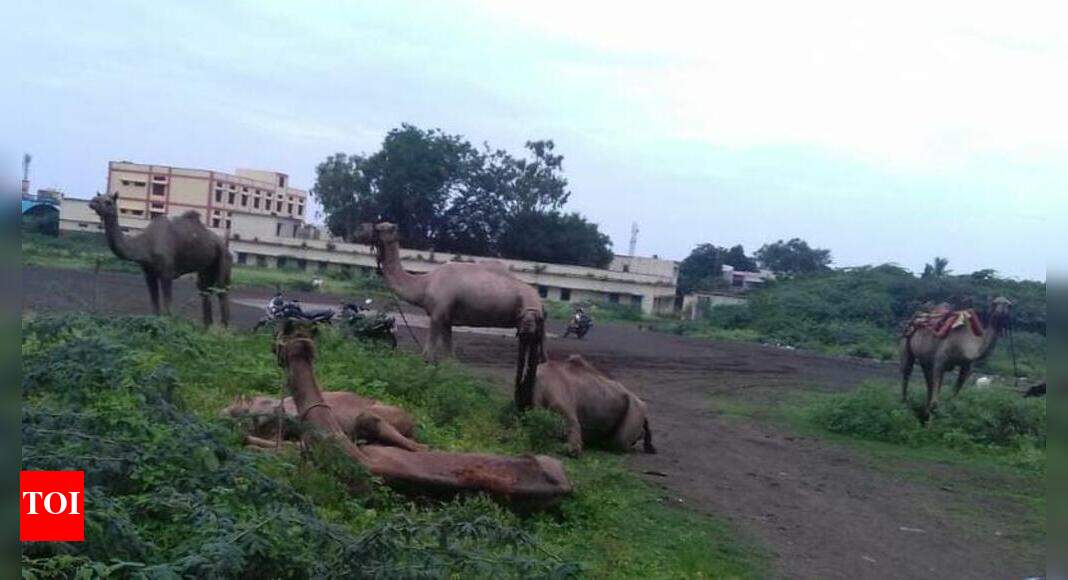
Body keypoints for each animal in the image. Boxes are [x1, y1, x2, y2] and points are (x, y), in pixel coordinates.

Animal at [89, 192, 231, 326]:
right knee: (205, 290)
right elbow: (155, 306)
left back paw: (223, 329)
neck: (144, 244)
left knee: (222, 290)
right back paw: (206, 328)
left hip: (224, 258)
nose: (92, 202)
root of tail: (222, 243)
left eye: (108, 202)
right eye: (98, 197)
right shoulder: (149, 274)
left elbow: (168, 307)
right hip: (206, 267)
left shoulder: (166, 273)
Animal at [356, 222, 546, 410]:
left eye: (381, 227)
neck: (424, 285)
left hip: (529, 318)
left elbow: (427, 355)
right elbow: (450, 358)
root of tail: (540, 302)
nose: (360, 231)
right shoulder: (446, 320)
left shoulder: (437, 315)